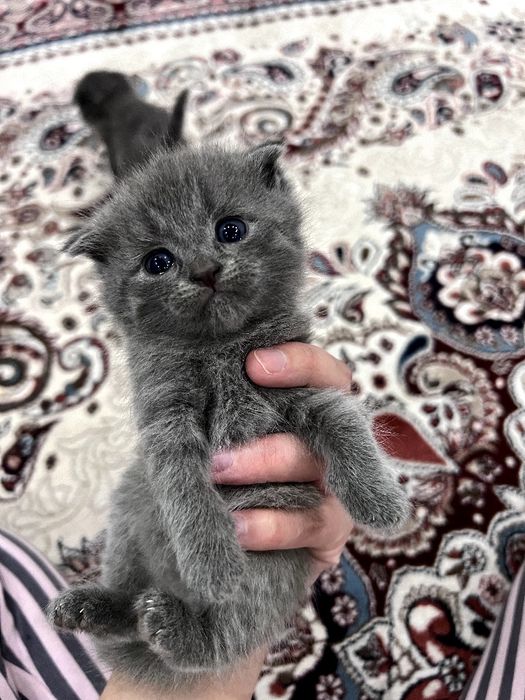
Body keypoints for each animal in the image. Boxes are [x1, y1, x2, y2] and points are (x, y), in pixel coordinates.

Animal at [48, 140, 411, 690]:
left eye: (230, 229)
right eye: (158, 261)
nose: (204, 269)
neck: (221, 347)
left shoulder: (298, 384)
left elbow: (343, 421)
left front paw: (379, 503)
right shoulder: (165, 421)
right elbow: (185, 488)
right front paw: (212, 562)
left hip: (267, 573)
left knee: (223, 634)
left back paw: (169, 626)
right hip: (132, 509)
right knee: (144, 611)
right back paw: (97, 607)